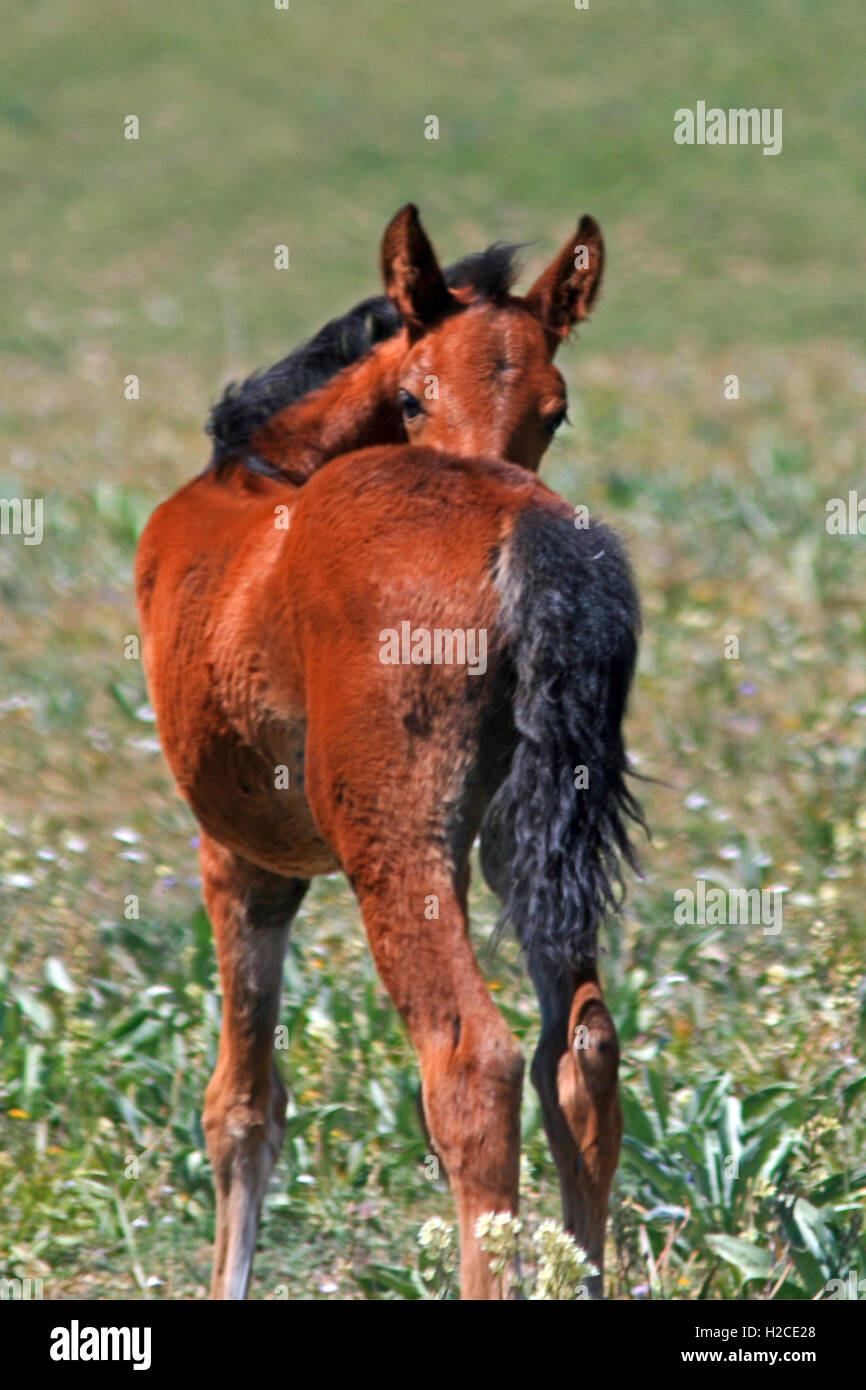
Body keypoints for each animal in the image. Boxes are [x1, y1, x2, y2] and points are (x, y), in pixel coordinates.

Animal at [135, 205, 644, 1299]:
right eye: (412, 397)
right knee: (581, 1050)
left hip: (393, 845)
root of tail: (518, 522)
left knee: (472, 1065)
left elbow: (241, 1108)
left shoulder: (240, 858)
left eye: (554, 410)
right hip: (525, 845)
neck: (257, 476)